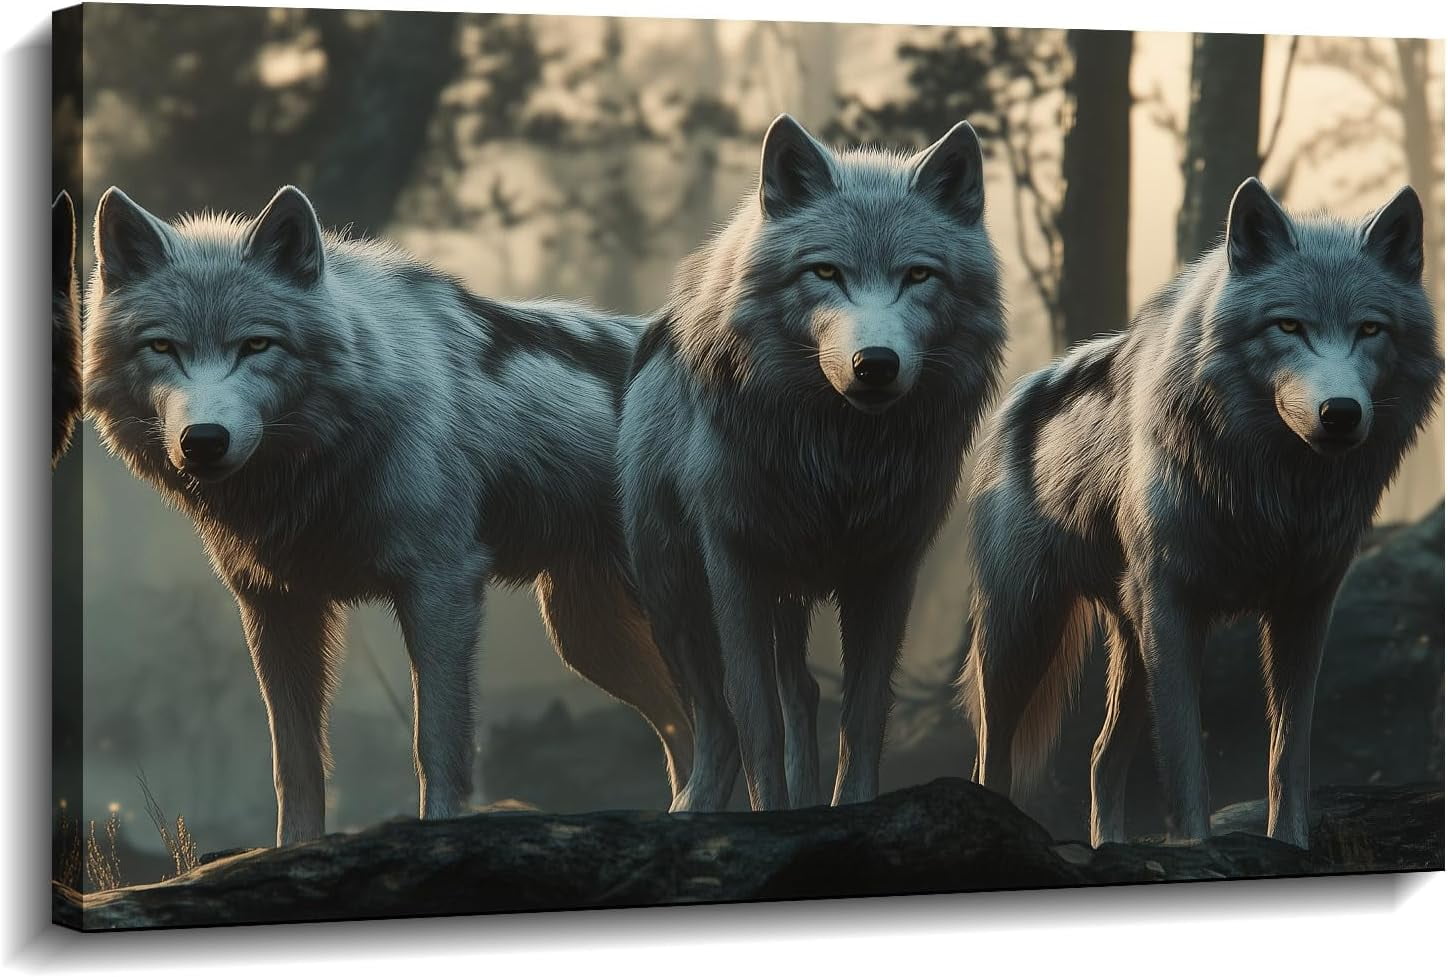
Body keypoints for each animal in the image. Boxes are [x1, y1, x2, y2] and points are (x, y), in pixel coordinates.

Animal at [83, 185, 692, 845]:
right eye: (162, 347)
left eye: (256, 344)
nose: (203, 440)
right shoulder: (276, 605)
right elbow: (294, 764)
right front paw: (295, 849)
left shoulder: (440, 586)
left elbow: (436, 744)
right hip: (587, 636)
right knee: (688, 729)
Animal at [619, 115, 1006, 812]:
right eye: (825, 271)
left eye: (918, 276)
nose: (874, 364)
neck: (838, 460)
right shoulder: (735, 564)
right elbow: (757, 722)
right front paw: (769, 814)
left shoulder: (890, 569)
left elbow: (862, 718)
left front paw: (848, 808)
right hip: (677, 599)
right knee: (716, 723)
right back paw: (696, 807)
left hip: (784, 598)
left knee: (802, 692)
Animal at [959, 178, 1442, 849]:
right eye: (1288, 325)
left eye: (1371, 329)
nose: (1341, 413)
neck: (1274, 494)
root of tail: (1027, 388)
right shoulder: (1173, 608)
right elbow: (1187, 763)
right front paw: (1195, 848)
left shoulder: (1305, 608)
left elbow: (1288, 756)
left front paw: (1289, 847)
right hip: (1023, 637)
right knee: (990, 755)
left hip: (1128, 646)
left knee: (1100, 760)